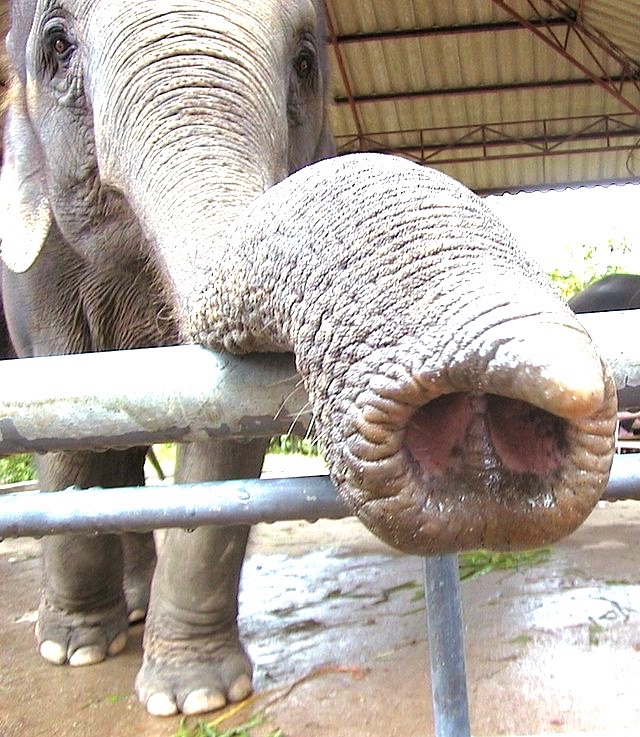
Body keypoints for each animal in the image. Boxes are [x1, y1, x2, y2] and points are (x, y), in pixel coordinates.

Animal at [0, 0, 616, 719]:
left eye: (304, 62)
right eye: (56, 47)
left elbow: (222, 430)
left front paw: (194, 694)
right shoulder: (32, 275)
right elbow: (59, 415)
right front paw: (76, 650)